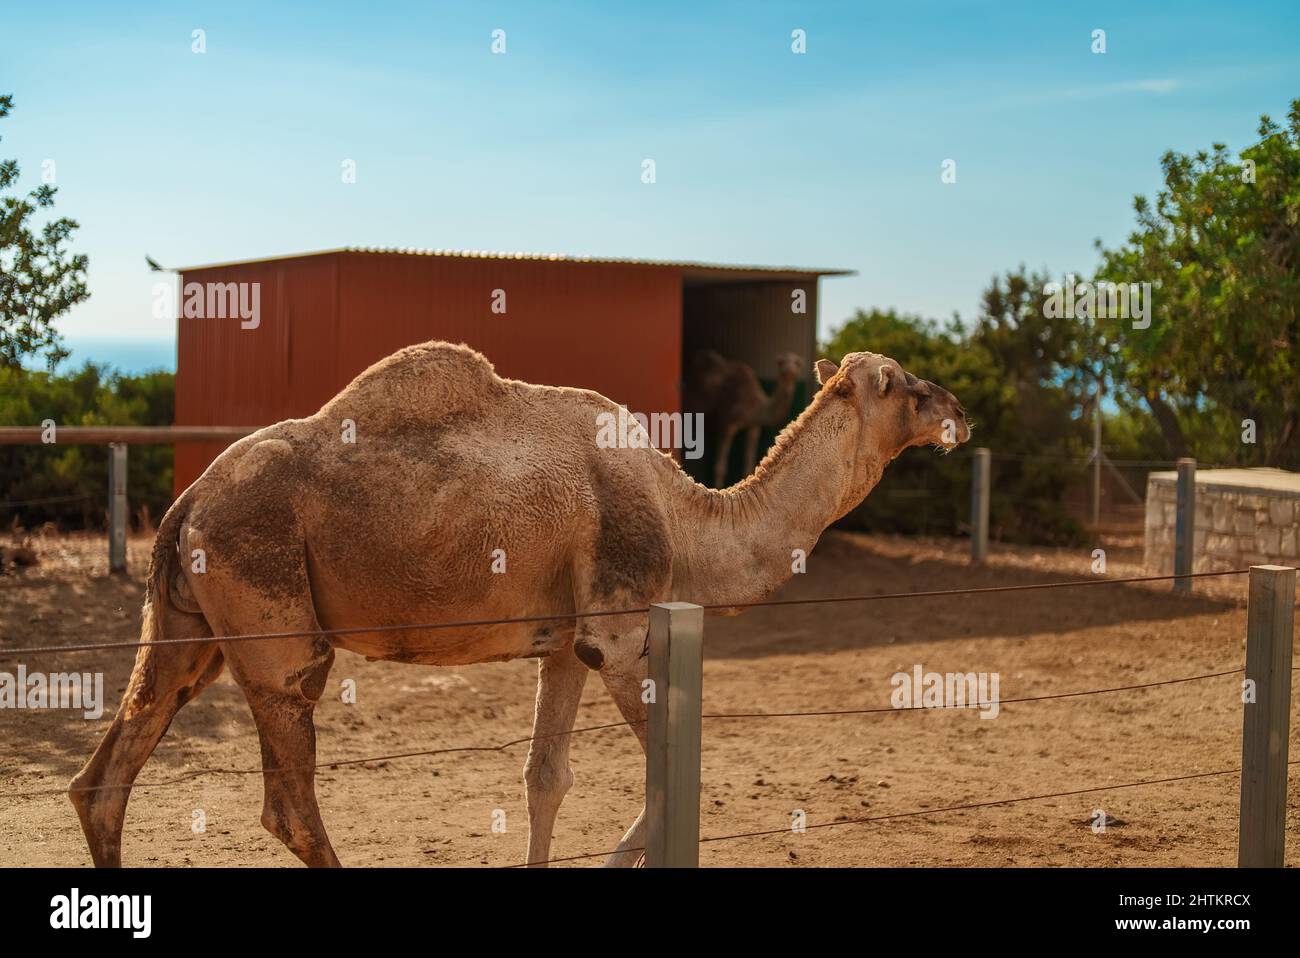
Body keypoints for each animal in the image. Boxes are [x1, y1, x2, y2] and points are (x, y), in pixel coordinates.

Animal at [684, 350, 805, 486]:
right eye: (780, 362)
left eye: (797, 363)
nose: (789, 370)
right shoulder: (727, 423)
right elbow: (720, 468)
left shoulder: (754, 427)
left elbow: (749, 465)